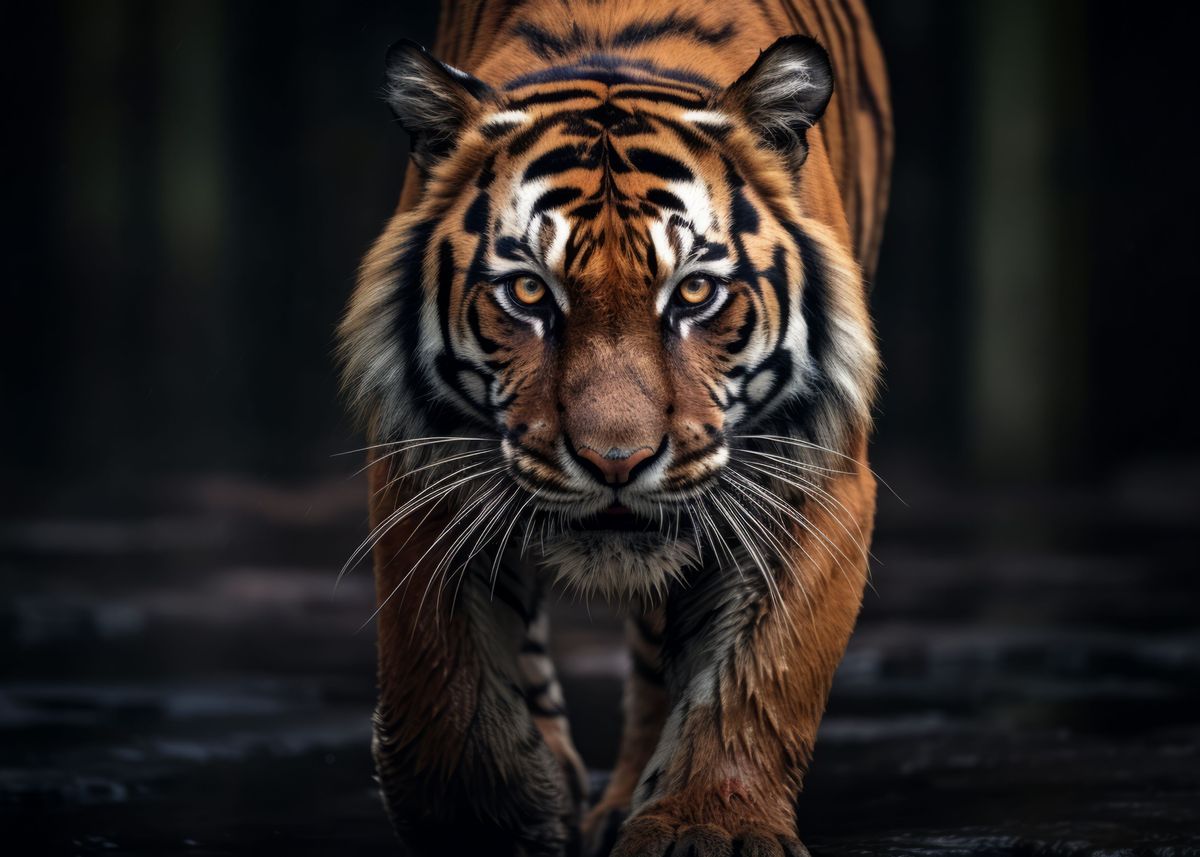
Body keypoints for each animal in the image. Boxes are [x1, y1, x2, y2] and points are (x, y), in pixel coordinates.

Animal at [337, 0, 891, 854]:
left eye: (693, 291)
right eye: (529, 291)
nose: (617, 461)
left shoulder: (811, 471)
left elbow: (761, 670)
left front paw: (709, 825)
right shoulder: (420, 461)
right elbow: (438, 671)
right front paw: (493, 819)